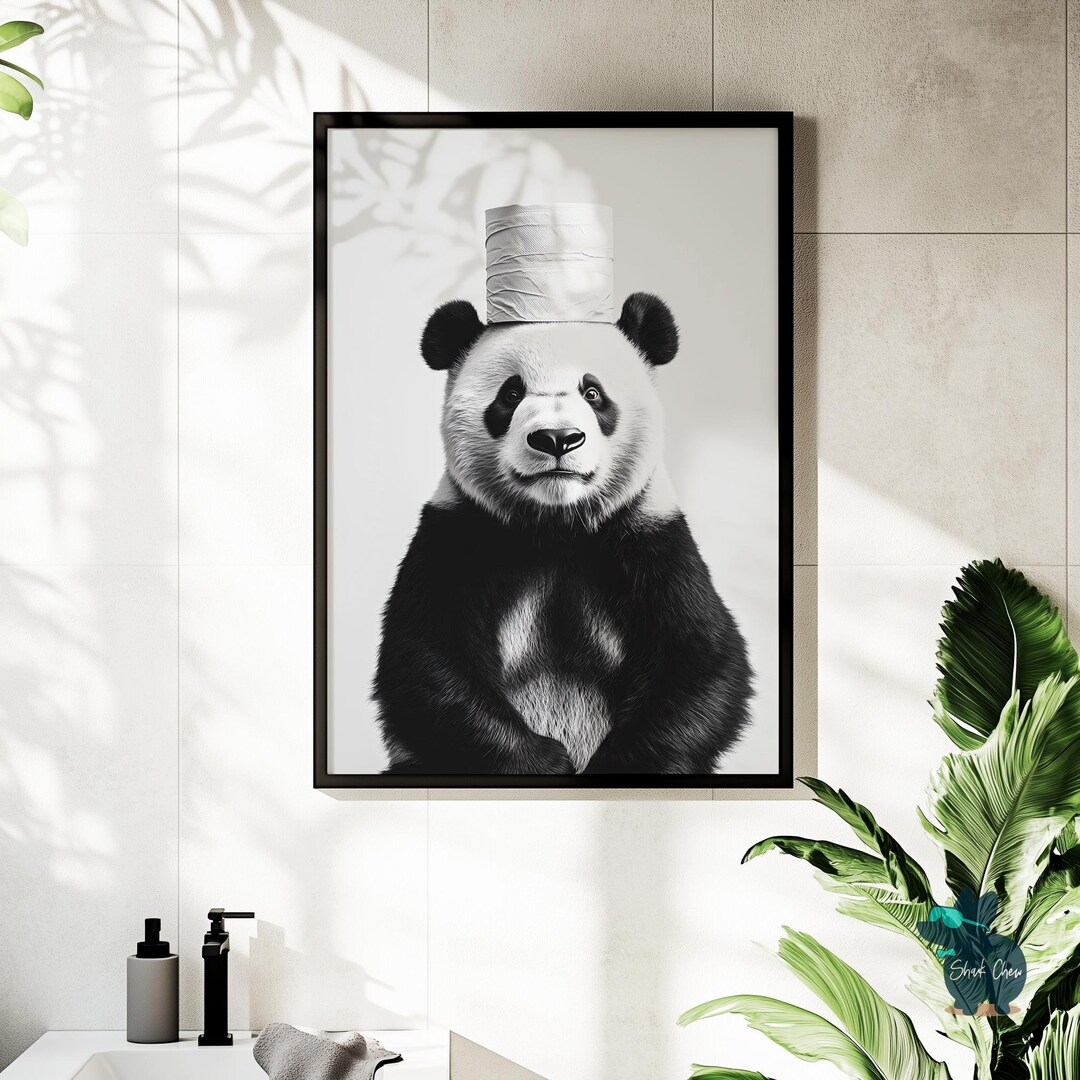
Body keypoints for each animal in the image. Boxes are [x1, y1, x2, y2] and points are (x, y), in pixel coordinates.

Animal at [374, 292, 753, 775]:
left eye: (592, 393)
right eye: (511, 393)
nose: (557, 438)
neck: (556, 525)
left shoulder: (651, 539)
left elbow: (700, 659)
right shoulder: (458, 532)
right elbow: (427, 659)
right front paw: (545, 763)